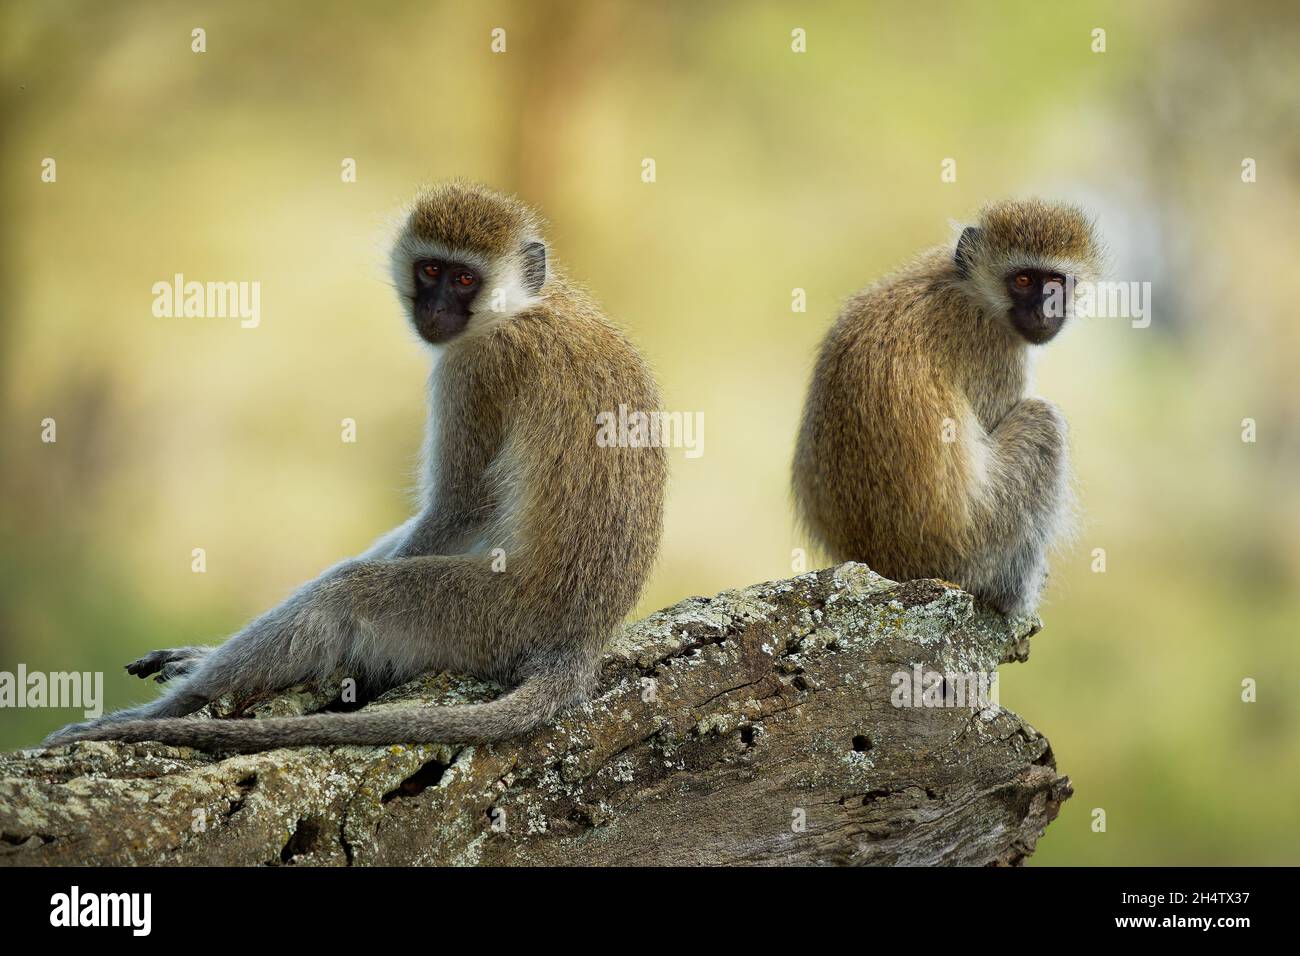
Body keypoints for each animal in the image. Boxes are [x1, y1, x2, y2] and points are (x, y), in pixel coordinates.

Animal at [44, 181, 668, 753]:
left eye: (465, 280)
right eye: (431, 270)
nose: (435, 309)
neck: (524, 306)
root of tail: (581, 637)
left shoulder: (477, 368)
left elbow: (462, 507)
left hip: (486, 617)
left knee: (342, 595)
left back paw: (162, 711)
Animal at [791, 198, 1104, 617]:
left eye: (1056, 282)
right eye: (1023, 280)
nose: (1045, 311)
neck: (966, 288)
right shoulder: (995, 352)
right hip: (974, 551)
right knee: (1044, 422)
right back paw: (1011, 597)